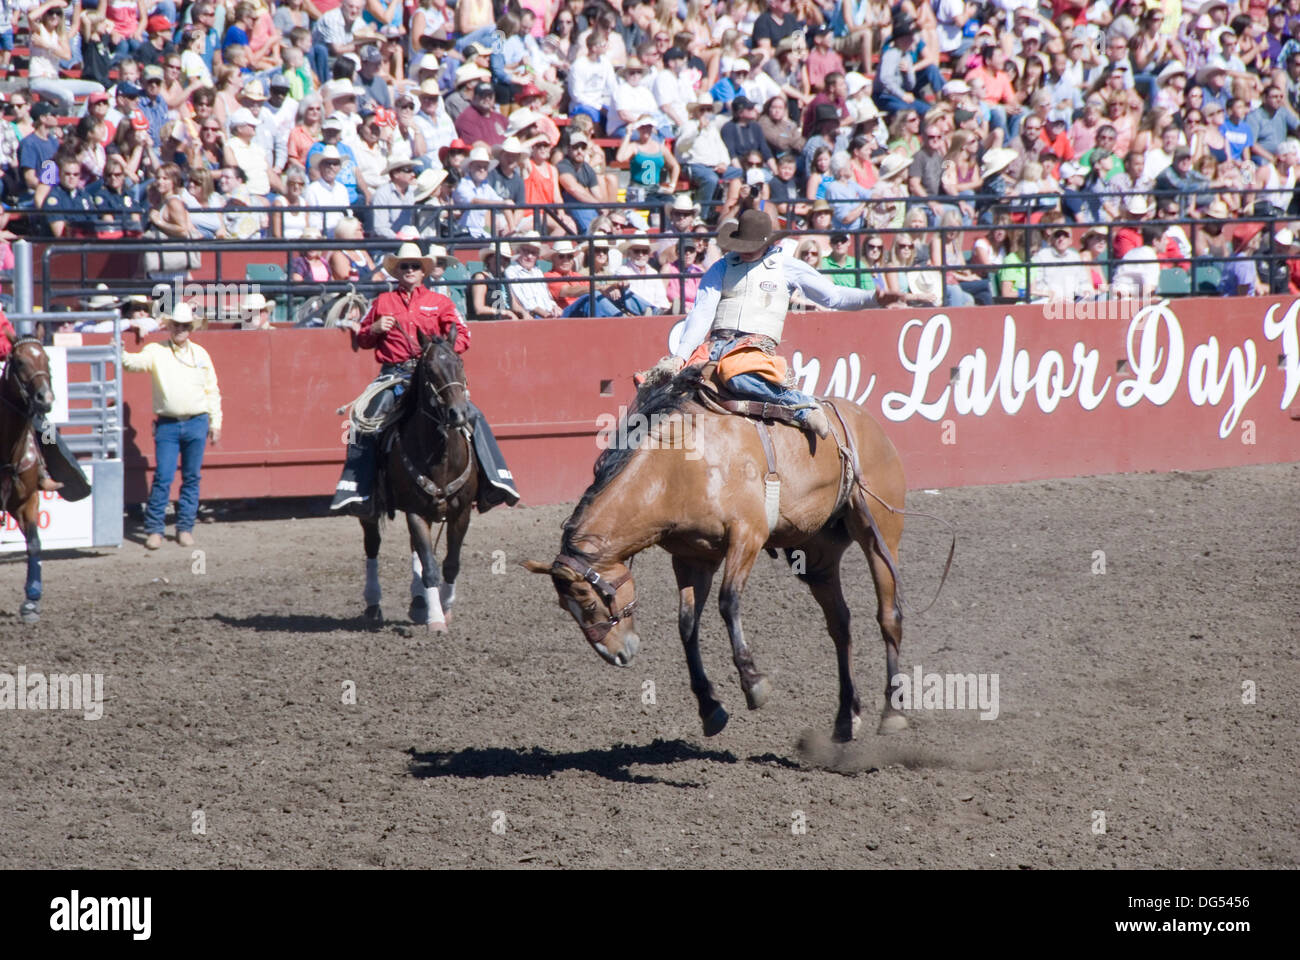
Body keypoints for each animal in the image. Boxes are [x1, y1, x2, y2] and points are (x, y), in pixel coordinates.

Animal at [360, 330, 478, 632]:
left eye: (460, 362)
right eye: (430, 369)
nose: (458, 413)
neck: (441, 455)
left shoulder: (461, 512)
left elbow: (449, 564)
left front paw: (444, 608)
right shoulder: (414, 510)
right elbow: (431, 568)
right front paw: (436, 620)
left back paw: (418, 601)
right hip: (370, 509)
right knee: (372, 545)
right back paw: (373, 603)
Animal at [526, 370, 913, 741]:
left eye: (590, 603)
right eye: (565, 608)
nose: (618, 655)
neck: (677, 469)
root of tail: (868, 422)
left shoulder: (748, 535)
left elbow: (728, 602)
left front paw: (754, 683)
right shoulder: (691, 559)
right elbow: (687, 623)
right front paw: (709, 707)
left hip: (879, 532)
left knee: (888, 615)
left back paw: (892, 713)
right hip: (817, 555)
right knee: (840, 624)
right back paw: (847, 716)